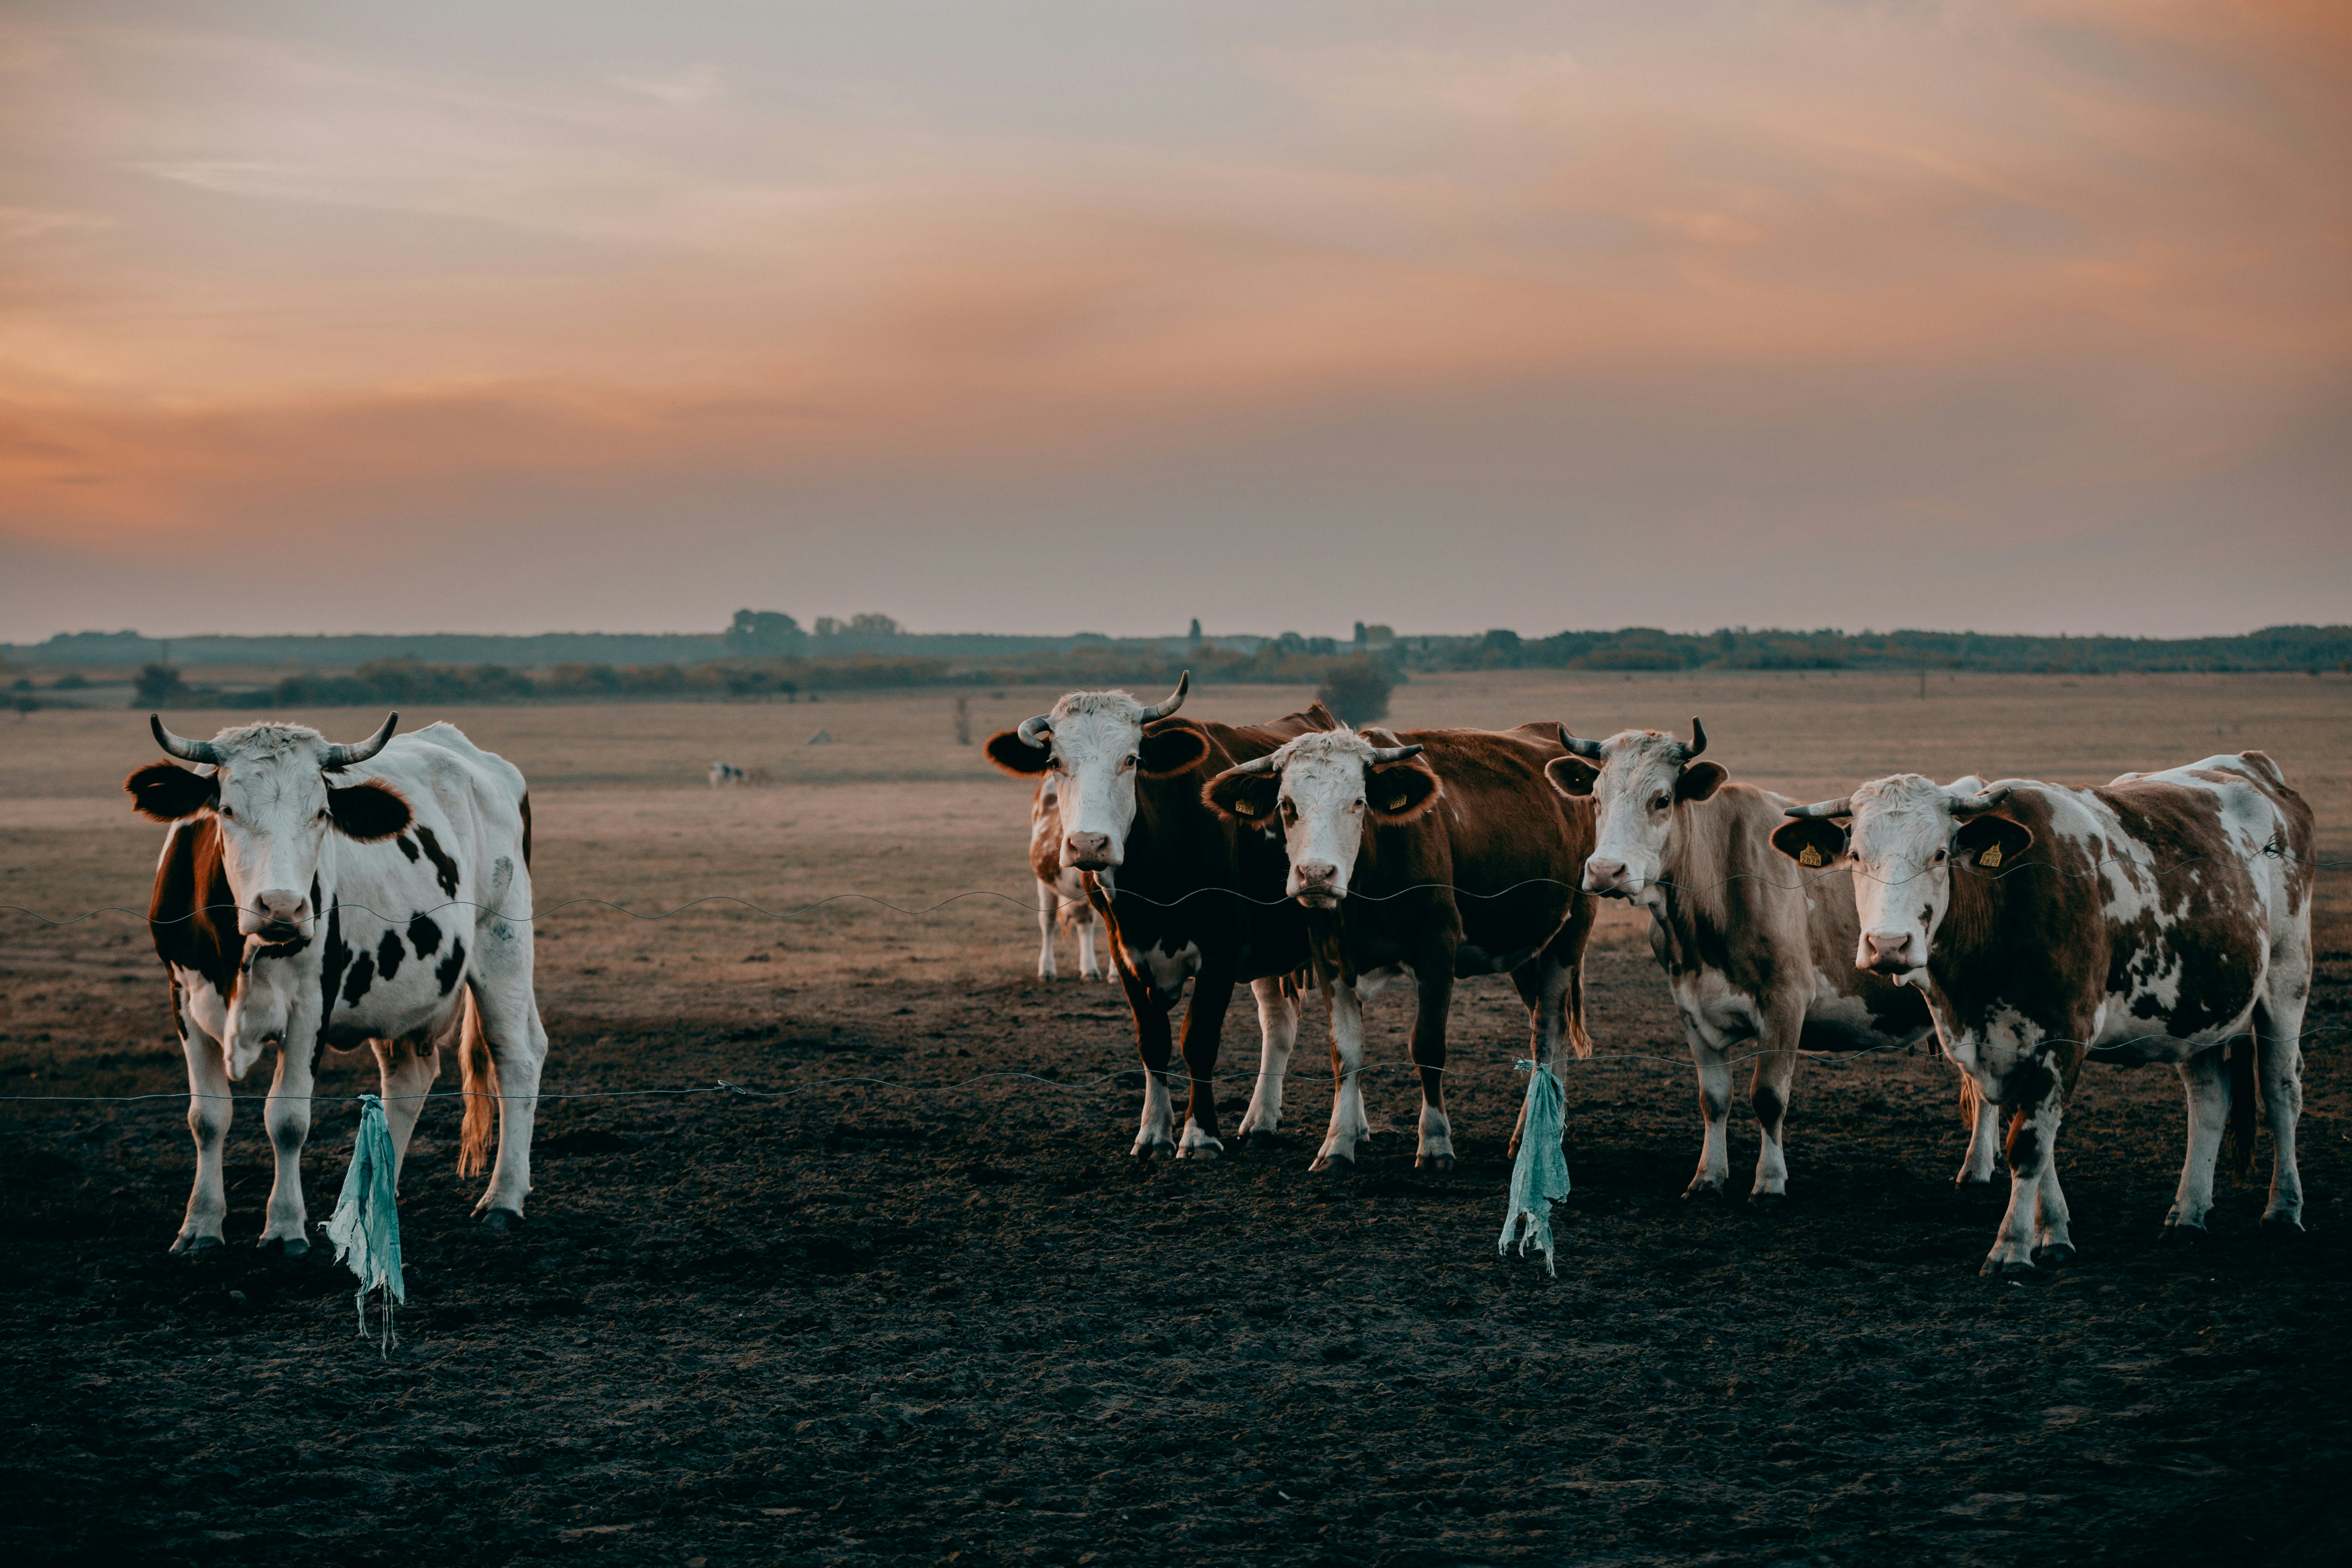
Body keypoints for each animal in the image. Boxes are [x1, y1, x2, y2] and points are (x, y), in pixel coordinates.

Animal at [126, 713, 547, 1254]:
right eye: (227, 809)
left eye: (322, 813)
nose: (282, 906)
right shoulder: (185, 1000)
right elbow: (207, 1118)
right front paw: (200, 1225)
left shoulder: (311, 1007)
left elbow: (287, 1119)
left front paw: (285, 1228)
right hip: (399, 992)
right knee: (408, 1079)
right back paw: (379, 1200)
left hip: (503, 946)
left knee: (516, 1056)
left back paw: (504, 1199)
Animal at [1202, 723, 1598, 1172]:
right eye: (1287, 805)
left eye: (1359, 802)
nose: (1317, 874)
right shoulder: (1329, 957)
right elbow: (1346, 1052)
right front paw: (1337, 1145)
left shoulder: (1437, 950)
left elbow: (1427, 1046)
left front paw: (1436, 1144)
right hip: (1527, 951)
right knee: (1554, 1031)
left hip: (1568, 940)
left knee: (1547, 1035)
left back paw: (1530, 1136)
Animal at [1544, 721, 1938, 1203]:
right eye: (1596, 798)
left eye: (1662, 799)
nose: (1605, 872)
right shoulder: (1692, 1009)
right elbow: (1714, 1098)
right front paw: (1708, 1177)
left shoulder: (1786, 1003)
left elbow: (1768, 1097)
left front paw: (1769, 1182)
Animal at [1771, 752, 2315, 1274]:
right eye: (1856, 855)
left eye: (1941, 854)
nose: (1888, 945)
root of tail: (2253, 766)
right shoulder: (2001, 1047)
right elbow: (2038, 1140)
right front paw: (2052, 1235)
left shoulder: (2062, 1036)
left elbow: (2030, 1145)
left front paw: (2011, 1247)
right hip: (2196, 1012)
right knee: (2208, 1098)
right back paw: (2188, 1214)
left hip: (2287, 981)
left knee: (2281, 1090)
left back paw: (2283, 1210)